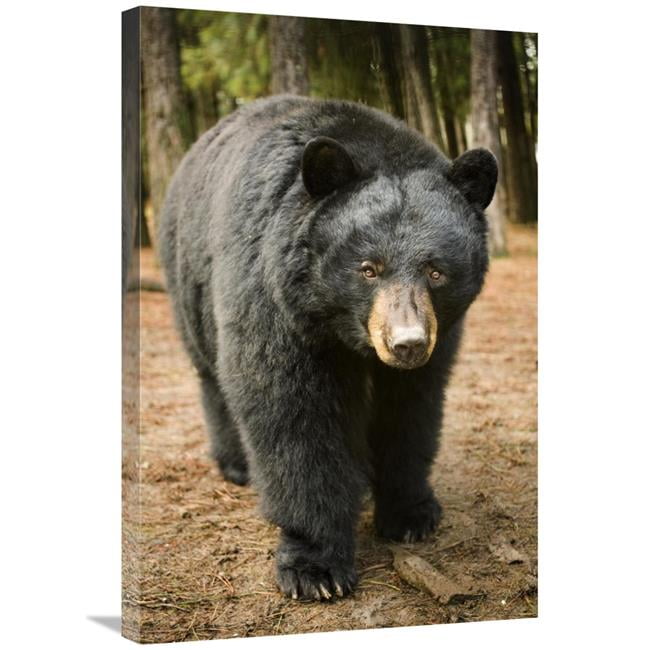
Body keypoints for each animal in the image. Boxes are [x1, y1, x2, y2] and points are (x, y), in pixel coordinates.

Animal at [158, 95, 496, 601]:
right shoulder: (274, 302)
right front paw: (314, 565)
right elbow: (293, 415)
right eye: (368, 268)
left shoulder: (439, 338)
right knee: (212, 376)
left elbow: (411, 408)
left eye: (436, 270)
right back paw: (236, 464)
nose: (407, 343)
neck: (337, 327)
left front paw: (411, 512)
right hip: (188, 280)